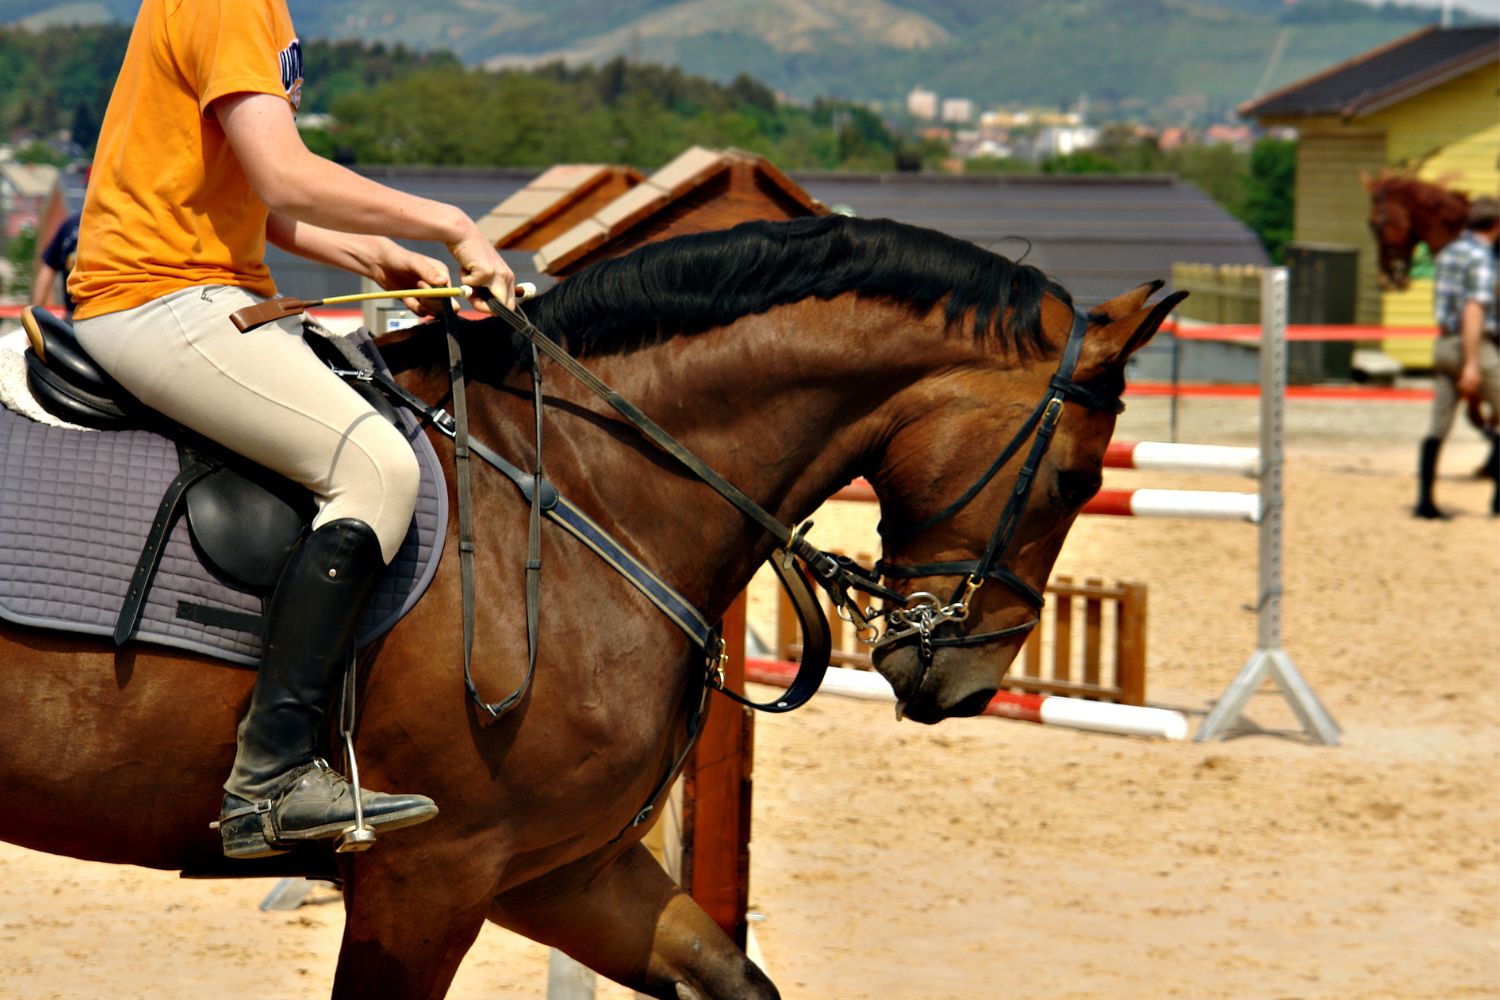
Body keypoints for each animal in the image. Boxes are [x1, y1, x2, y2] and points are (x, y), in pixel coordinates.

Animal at [0, 214, 1183, 999]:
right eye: (1076, 477)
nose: (969, 676)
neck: (581, 478)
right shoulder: (428, 878)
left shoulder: (564, 871)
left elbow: (737, 979)